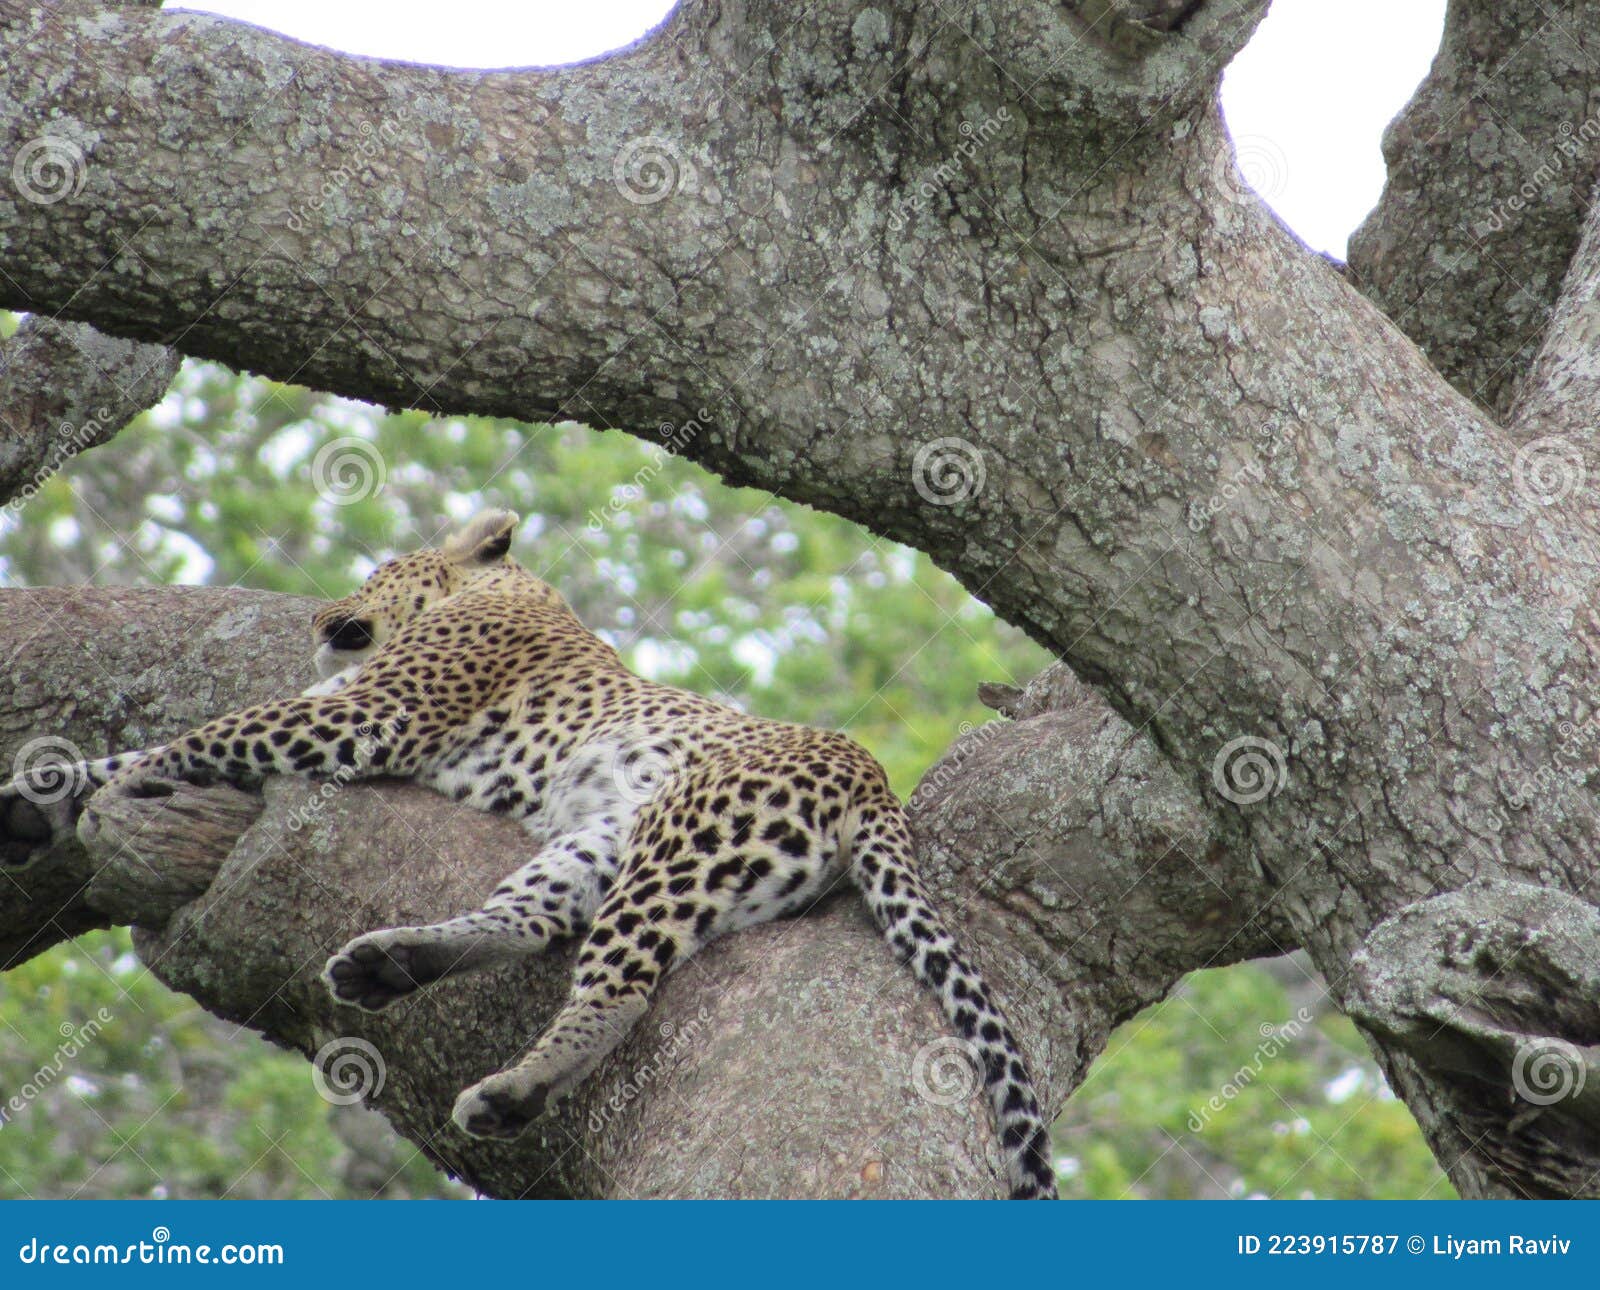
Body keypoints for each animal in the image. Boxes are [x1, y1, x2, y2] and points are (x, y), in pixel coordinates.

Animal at [1, 510, 1055, 1199]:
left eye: (377, 568)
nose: (318, 619)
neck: (503, 585)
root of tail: (872, 781)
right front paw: (41, 801)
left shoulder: (366, 713)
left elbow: (197, 735)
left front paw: (72, 785)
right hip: (603, 838)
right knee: (533, 917)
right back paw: (390, 964)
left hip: (678, 844)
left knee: (619, 986)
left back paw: (511, 1090)